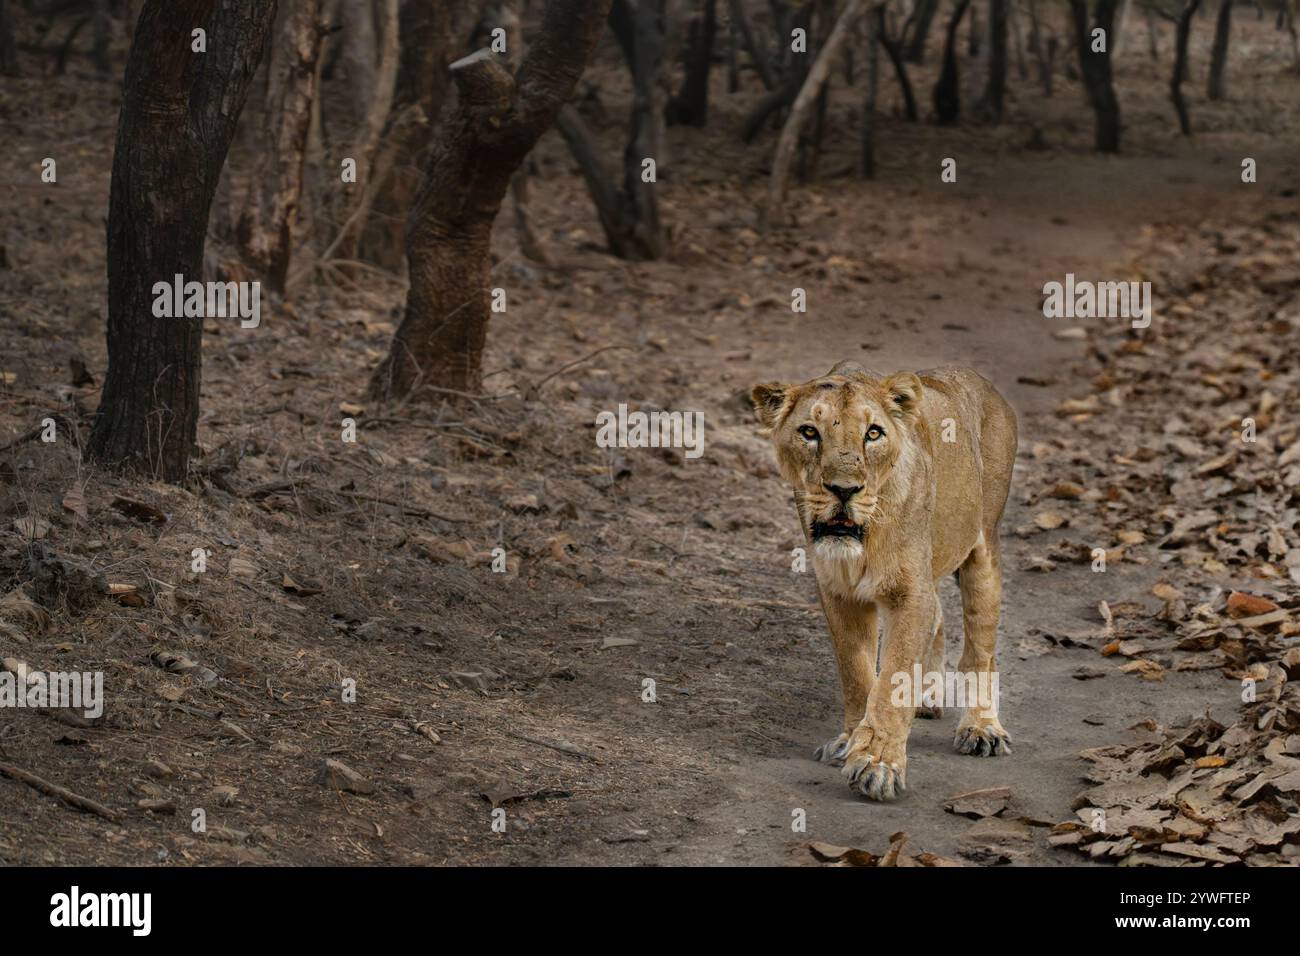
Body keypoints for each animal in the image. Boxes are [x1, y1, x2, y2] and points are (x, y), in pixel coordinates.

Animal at [751, 363, 1018, 801]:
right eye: (809, 432)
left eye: (873, 433)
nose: (843, 490)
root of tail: (983, 382)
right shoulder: (838, 592)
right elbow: (857, 672)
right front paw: (850, 742)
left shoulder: (909, 592)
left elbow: (893, 679)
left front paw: (877, 764)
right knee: (940, 616)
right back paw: (927, 697)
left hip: (984, 547)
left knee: (980, 650)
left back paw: (981, 729)